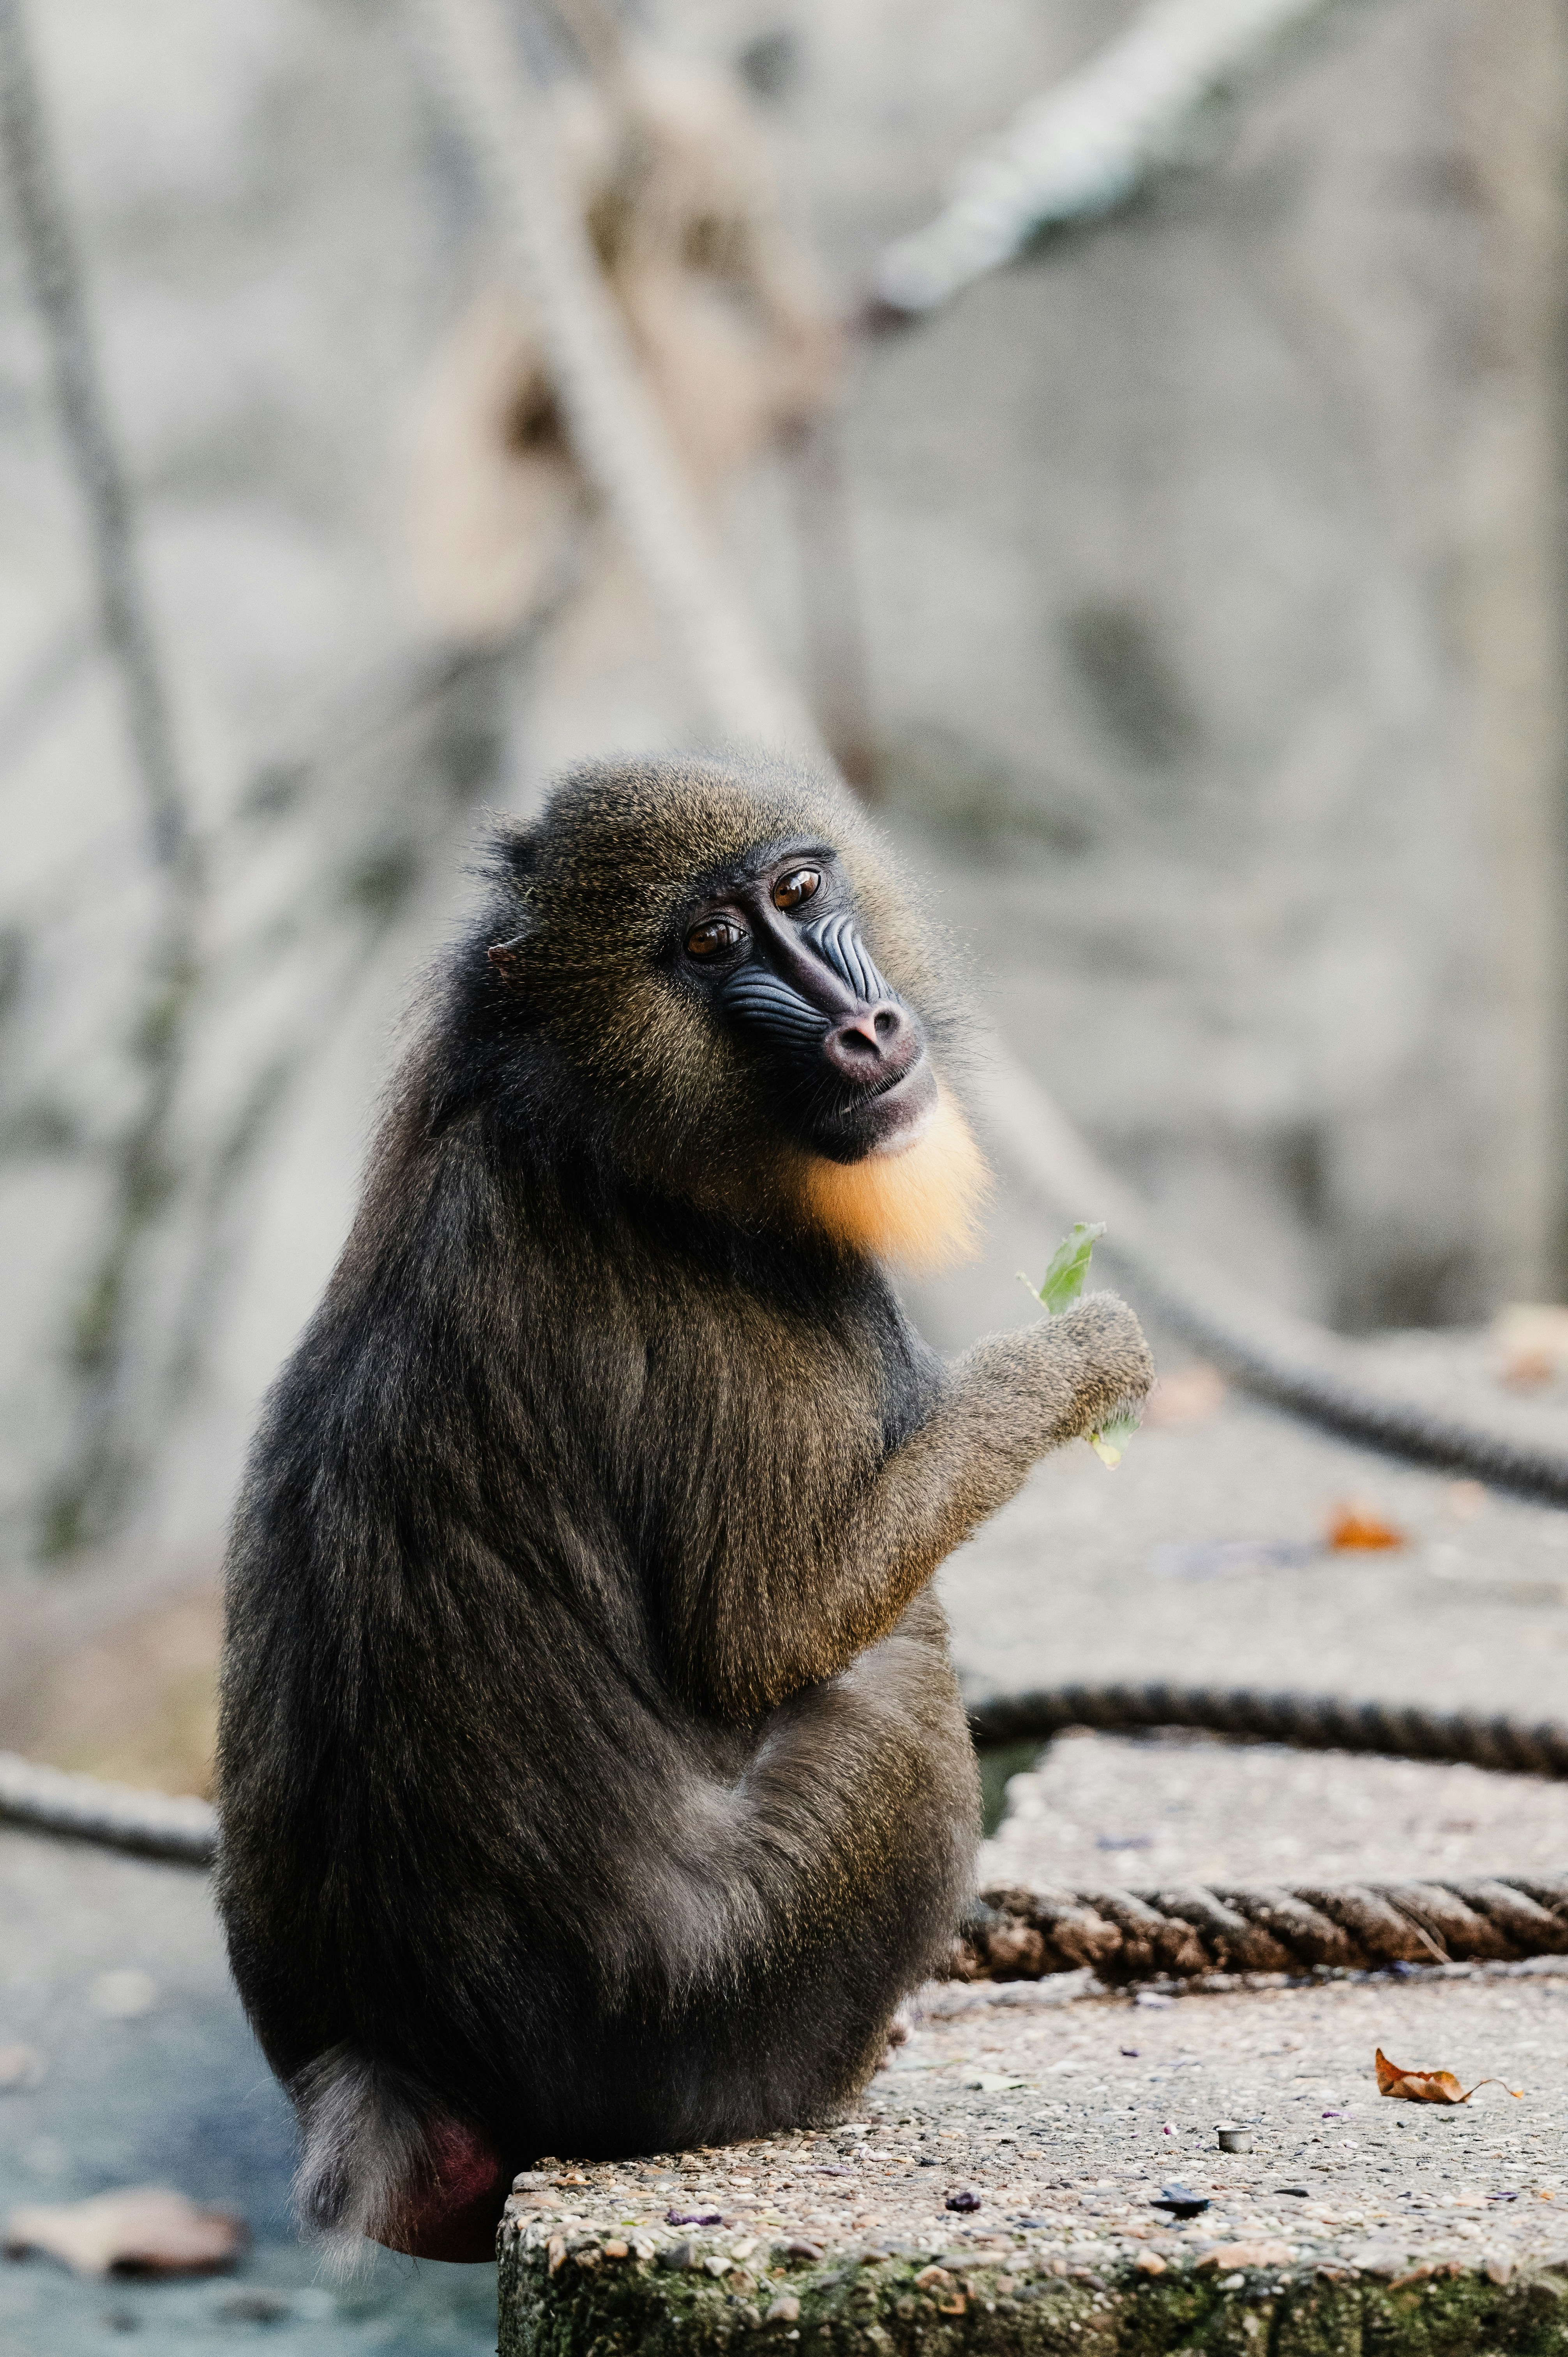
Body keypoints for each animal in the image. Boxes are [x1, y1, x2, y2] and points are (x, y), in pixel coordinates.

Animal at [215, 753, 1152, 2265]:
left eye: (798, 891)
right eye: (709, 948)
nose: (861, 1024)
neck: (578, 1099)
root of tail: (392, 2060)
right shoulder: (764, 1301)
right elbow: (768, 1629)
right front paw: (1079, 1357)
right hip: (724, 1994)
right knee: (895, 1674)